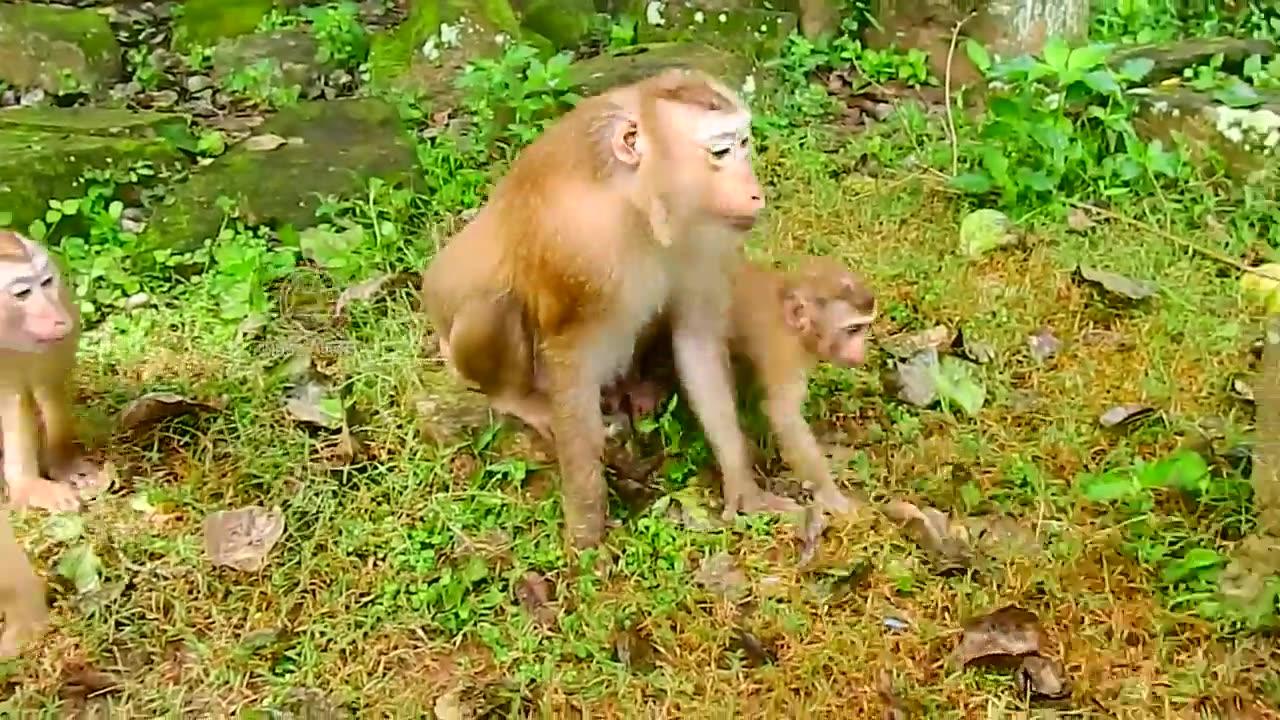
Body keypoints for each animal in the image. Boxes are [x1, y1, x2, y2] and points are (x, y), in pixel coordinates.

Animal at [0, 230, 88, 513]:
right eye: (22, 293)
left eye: (47, 282)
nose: (58, 319)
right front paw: (28, 485)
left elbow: (48, 384)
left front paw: (63, 461)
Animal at [421, 68, 801, 548]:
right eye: (720, 151)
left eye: (744, 143)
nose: (754, 193)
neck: (635, 201)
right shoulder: (579, 244)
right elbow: (570, 362)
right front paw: (586, 529)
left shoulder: (705, 232)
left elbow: (697, 337)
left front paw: (742, 484)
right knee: (490, 308)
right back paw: (519, 398)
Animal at [603, 254, 878, 515]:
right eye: (853, 329)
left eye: (865, 328)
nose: (862, 352)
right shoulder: (785, 352)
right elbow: (783, 415)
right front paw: (831, 495)